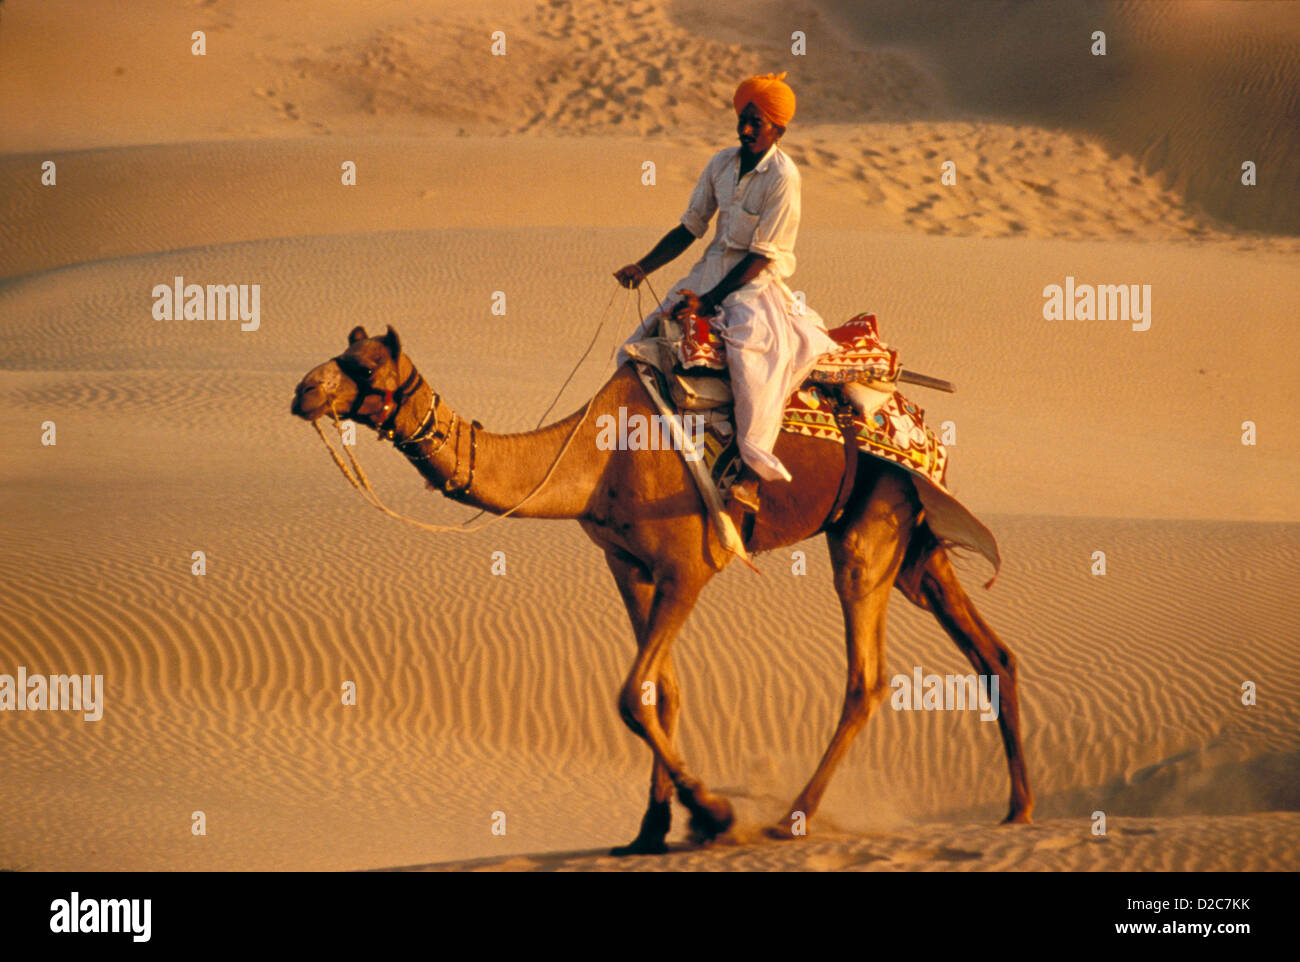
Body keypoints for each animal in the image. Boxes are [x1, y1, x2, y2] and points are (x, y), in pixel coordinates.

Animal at [291, 324, 1034, 854]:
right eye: (341, 349)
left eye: (365, 365)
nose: (303, 390)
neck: (593, 457)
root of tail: (916, 417)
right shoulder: (629, 567)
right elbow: (660, 691)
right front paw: (651, 830)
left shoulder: (687, 566)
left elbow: (629, 693)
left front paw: (714, 813)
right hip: (912, 545)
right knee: (989, 652)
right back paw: (1017, 808)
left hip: (867, 530)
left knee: (867, 677)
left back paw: (789, 818)